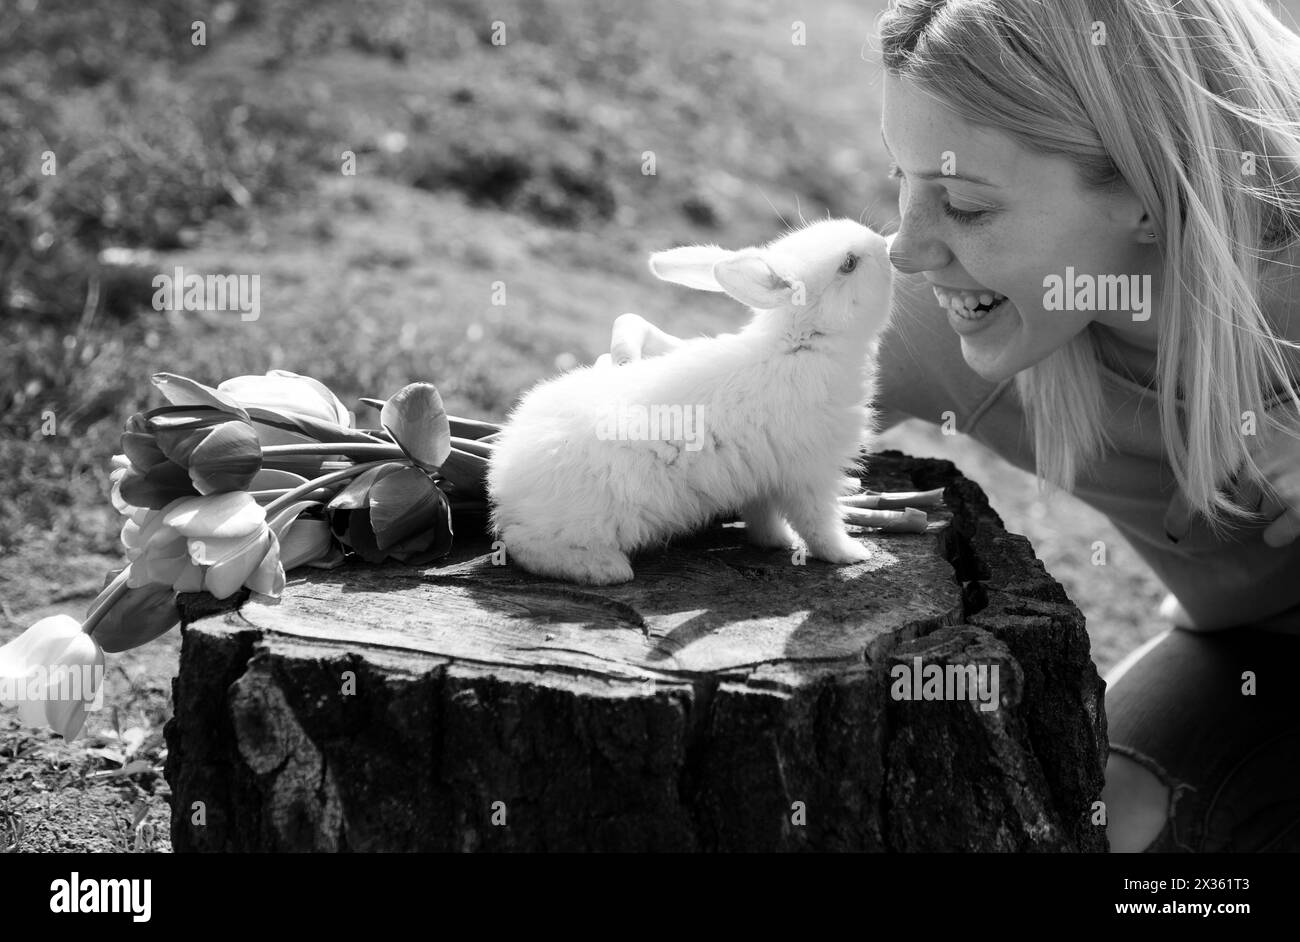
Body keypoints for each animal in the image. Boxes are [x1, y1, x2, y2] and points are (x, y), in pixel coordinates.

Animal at [486, 218, 896, 585]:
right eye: (849, 263)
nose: (886, 245)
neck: (803, 344)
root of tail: (503, 482)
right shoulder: (810, 474)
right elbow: (820, 524)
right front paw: (849, 555)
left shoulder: (761, 477)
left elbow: (764, 517)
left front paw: (778, 542)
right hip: (589, 519)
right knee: (526, 544)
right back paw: (606, 570)